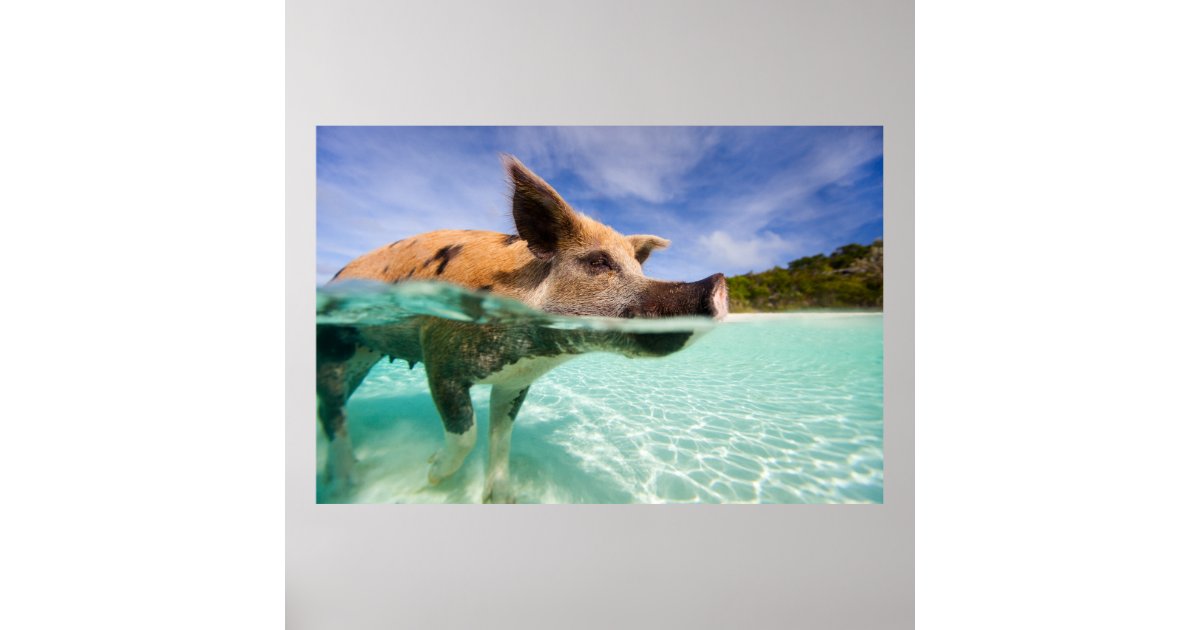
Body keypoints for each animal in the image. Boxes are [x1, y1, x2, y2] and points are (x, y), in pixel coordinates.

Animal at [318, 155, 728, 503]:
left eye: (639, 269)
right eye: (598, 262)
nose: (718, 283)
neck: (536, 350)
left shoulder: (514, 381)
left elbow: (502, 435)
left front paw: (503, 499)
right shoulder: (439, 357)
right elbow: (465, 433)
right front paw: (430, 474)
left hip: (365, 354)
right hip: (335, 344)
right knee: (333, 407)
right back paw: (348, 481)